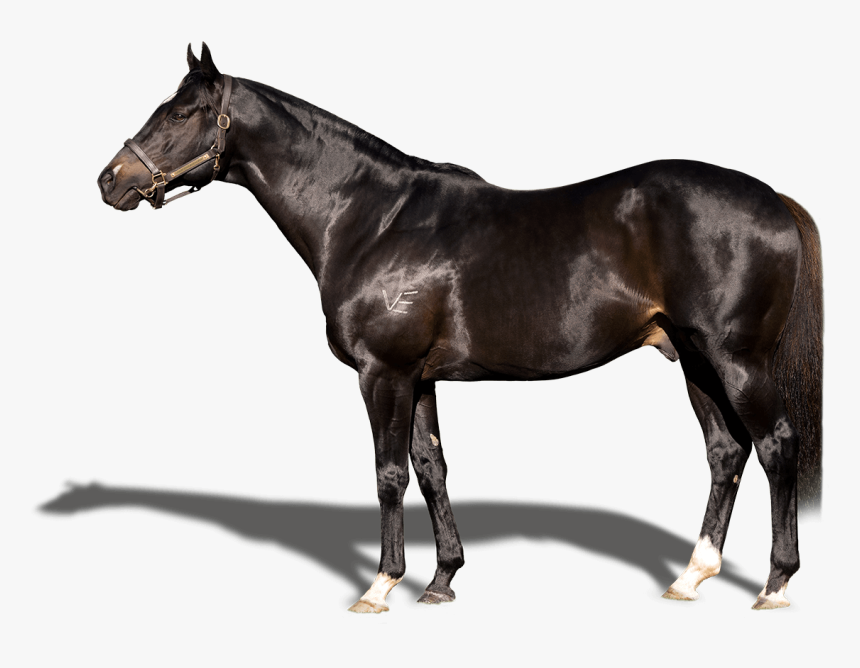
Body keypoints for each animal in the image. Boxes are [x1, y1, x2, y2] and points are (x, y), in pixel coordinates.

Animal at [97, 43, 822, 613]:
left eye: (180, 113)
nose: (110, 180)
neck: (373, 219)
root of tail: (774, 199)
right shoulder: (419, 378)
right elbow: (431, 468)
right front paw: (441, 579)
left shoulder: (383, 373)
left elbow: (389, 471)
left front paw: (380, 586)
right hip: (695, 359)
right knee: (725, 453)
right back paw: (692, 577)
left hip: (736, 359)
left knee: (776, 446)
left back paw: (775, 584)